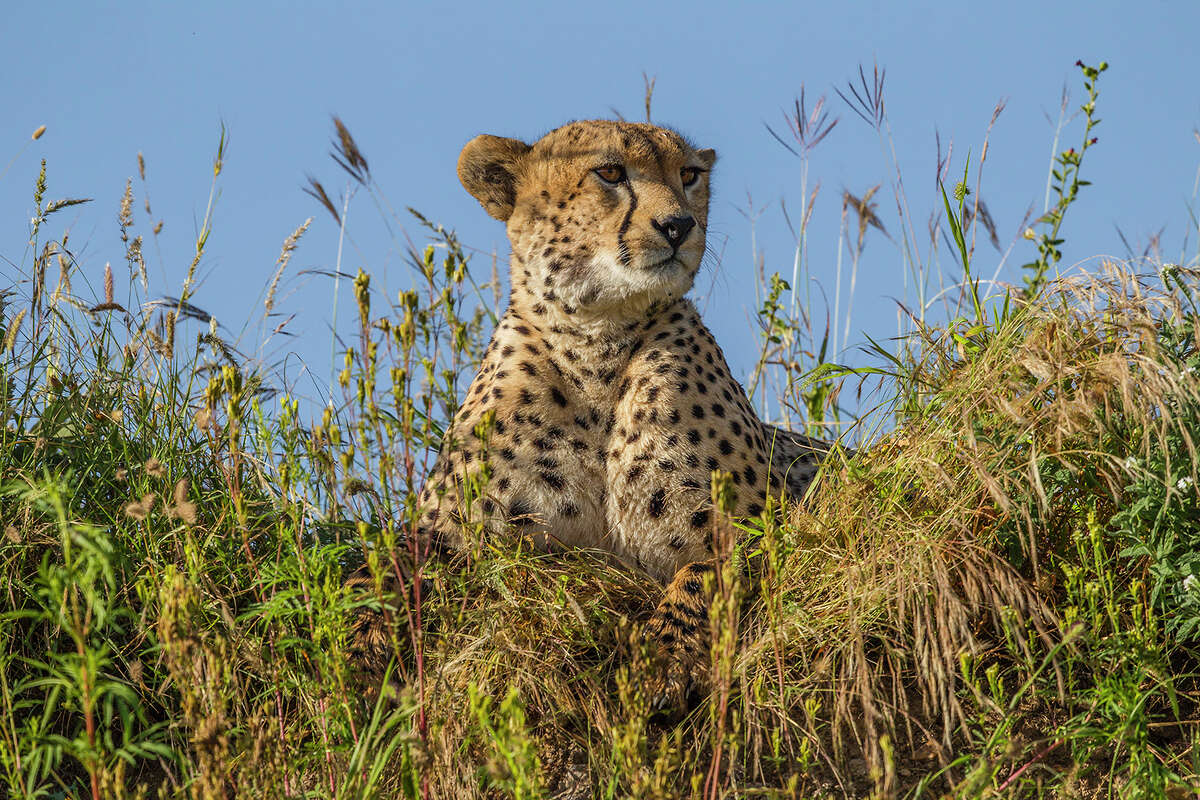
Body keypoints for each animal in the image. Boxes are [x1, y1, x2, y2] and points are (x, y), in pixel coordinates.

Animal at [355, 120, 834, 710]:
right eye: (609, 172)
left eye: (689, 175)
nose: (679, 225)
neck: (596, 343)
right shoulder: (452, 529)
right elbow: (387, 559)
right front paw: (360, 641)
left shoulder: (759, 521)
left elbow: (699, 573)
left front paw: (664, 661)